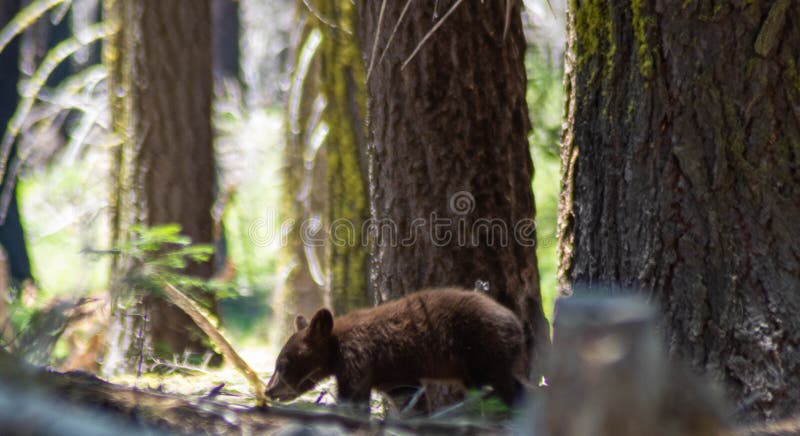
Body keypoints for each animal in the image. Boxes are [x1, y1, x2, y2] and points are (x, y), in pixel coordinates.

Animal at [265, 287, 528, 408]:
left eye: (283, 364)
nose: (269, 390)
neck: (337, 347)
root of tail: (517, 324)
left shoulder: (359, 360)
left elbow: (354, 396)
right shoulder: (395, 374)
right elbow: (408, 397)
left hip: (483, 349)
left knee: (503, 385)